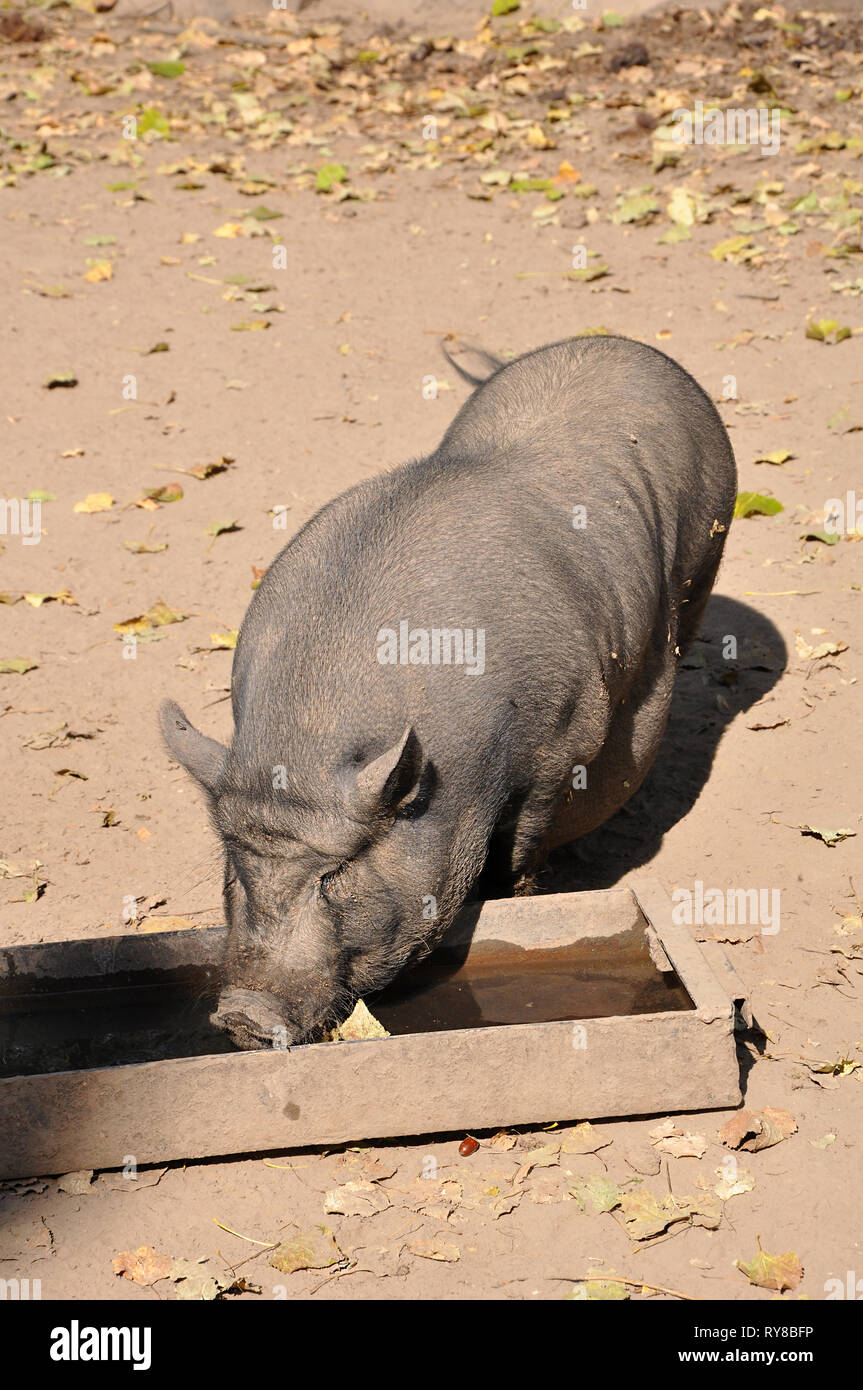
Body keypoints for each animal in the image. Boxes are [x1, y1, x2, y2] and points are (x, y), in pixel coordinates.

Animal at [160, 334, 736, 1049]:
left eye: (335, 875)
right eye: (235, 867)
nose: (242, 1013)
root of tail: (613, 342)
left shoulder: (558, 747)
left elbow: (517, 857)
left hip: (709, 549)